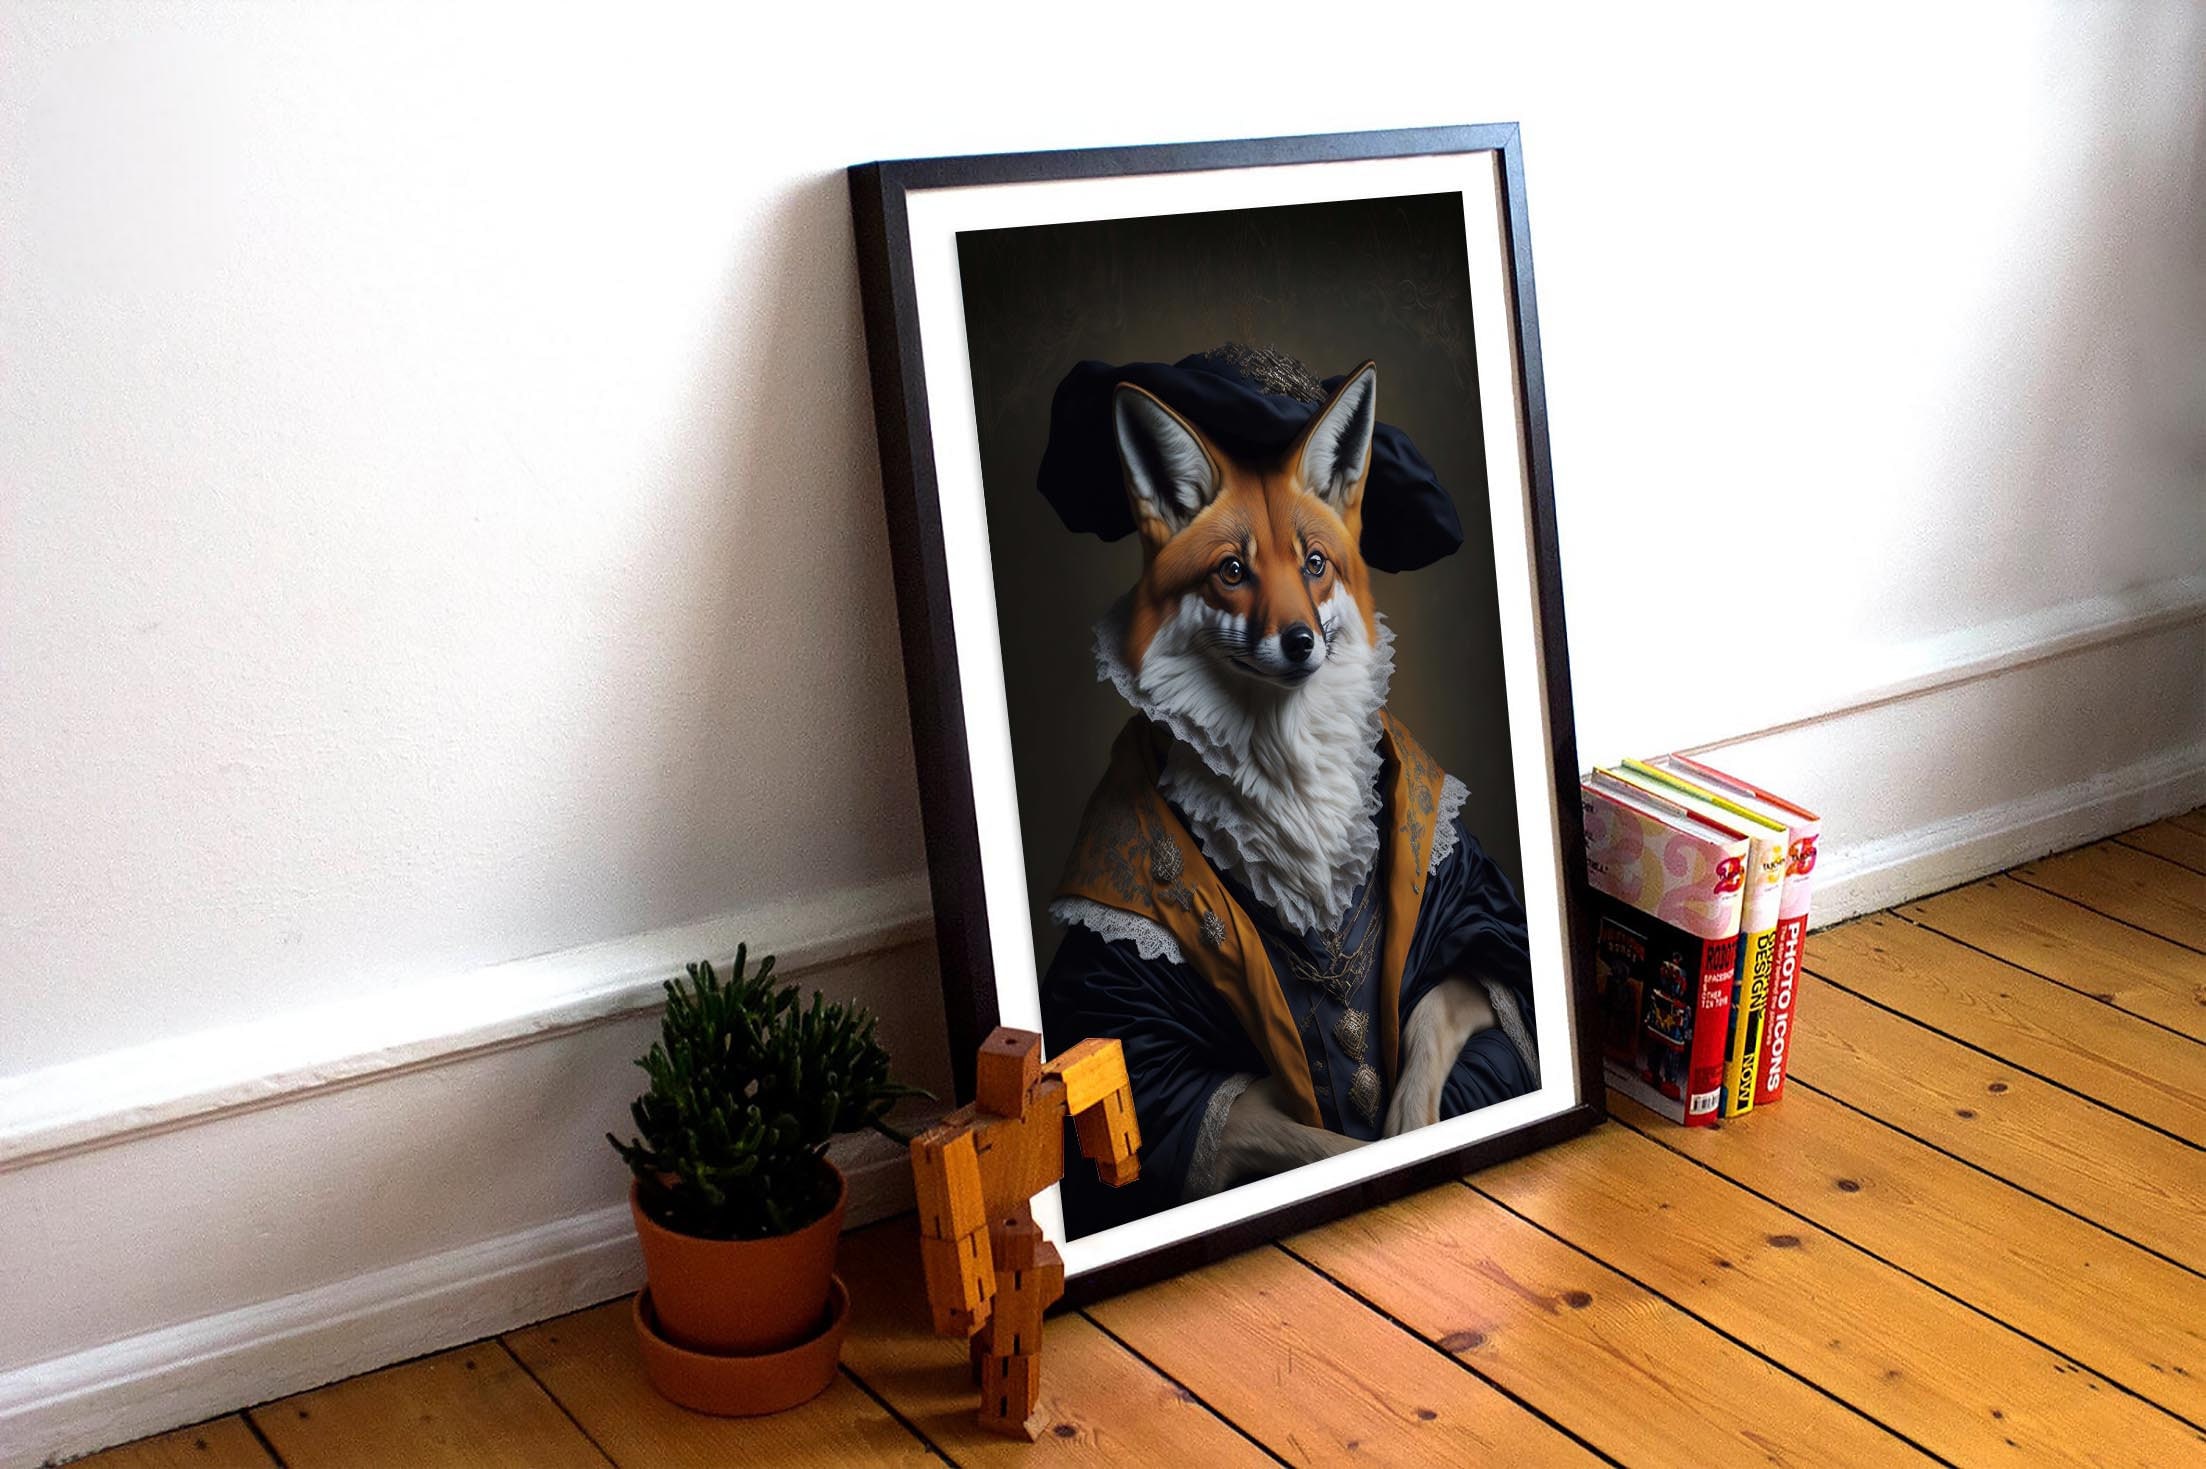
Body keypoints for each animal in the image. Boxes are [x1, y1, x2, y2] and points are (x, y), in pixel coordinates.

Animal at [1092, 362, 1504, 1185]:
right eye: (1232, 572)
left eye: (1314, 564)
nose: (1300, 640)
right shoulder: (1153, 1059)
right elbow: (1318, 1144)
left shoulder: (1470, 926)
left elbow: (1427, 1026)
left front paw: (1413, 1128)